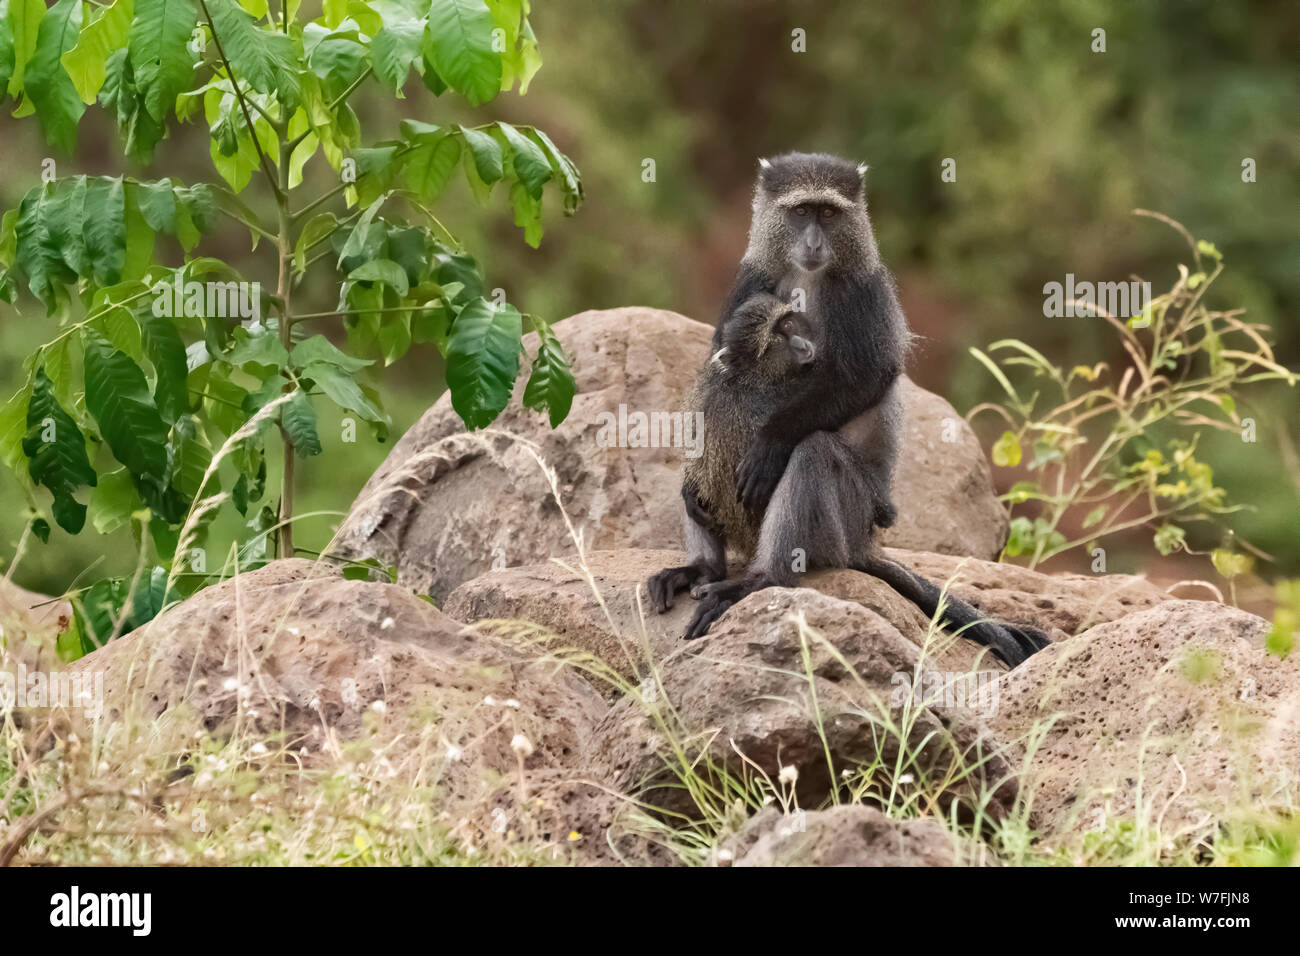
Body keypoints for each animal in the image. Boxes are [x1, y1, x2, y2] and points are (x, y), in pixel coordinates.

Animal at [647, 153, 1049, 666]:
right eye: (801, 212)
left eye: (829, 213)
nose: (814, 242)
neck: (809, 276)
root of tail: (863, 546)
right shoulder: (750, 280)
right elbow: (716, 367)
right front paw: (692, 489)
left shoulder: (864, 289)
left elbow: (868, 376)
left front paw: (771, 442)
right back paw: (702, 568)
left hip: (852, 515)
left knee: (815, 451)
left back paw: (762, 577)